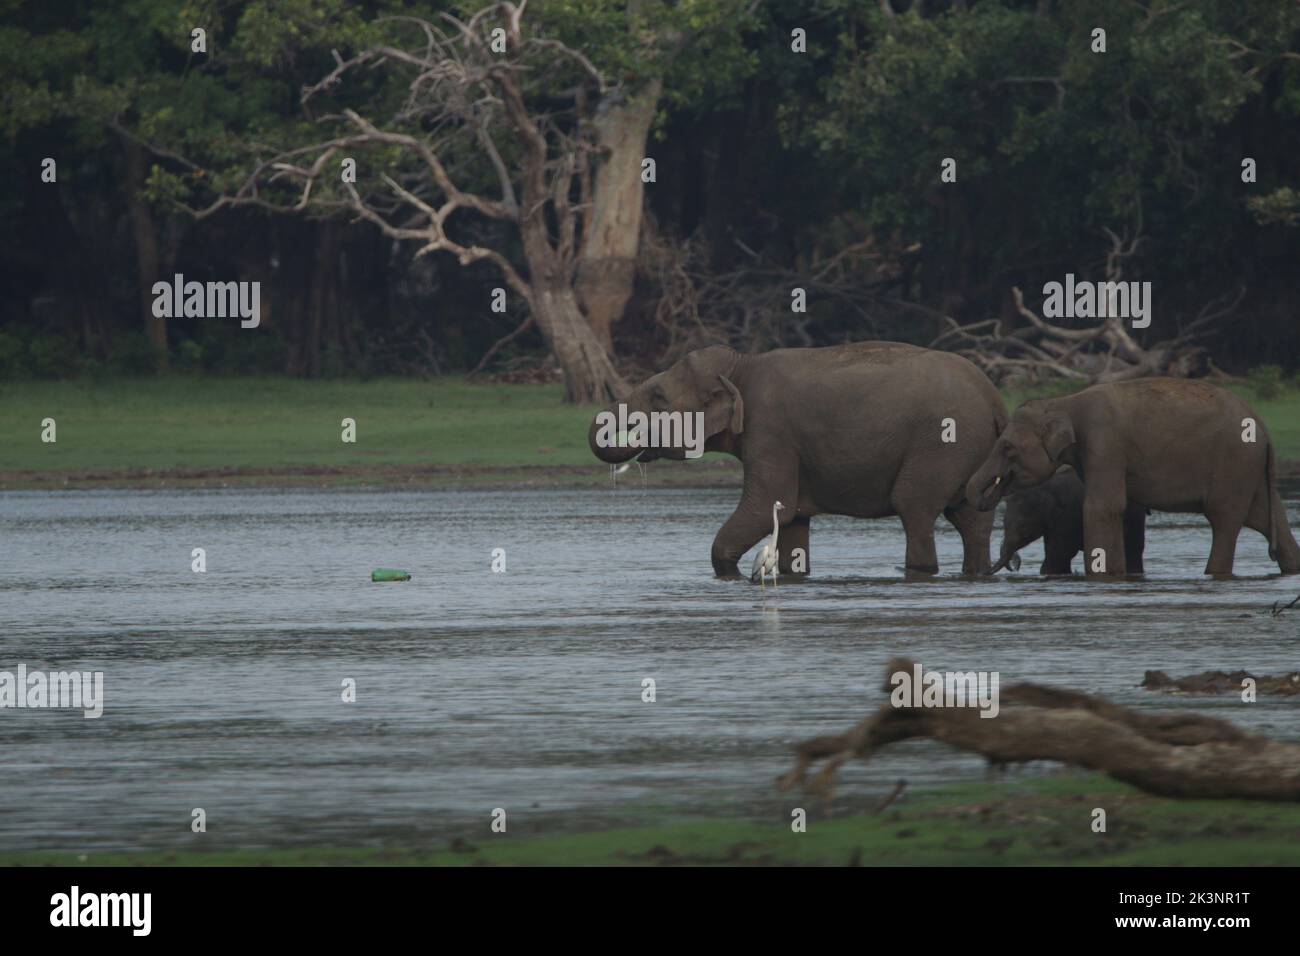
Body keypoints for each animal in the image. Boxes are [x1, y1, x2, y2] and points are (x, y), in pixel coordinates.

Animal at [588, 342, 1008, 577]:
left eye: (658, 397)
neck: (742, 365)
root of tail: (994, 397)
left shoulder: (770, 431)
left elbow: (763, 508)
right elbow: (791, 520)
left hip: (942, 445)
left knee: (914, 508)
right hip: (970, 453)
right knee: (972, 520)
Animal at [994, 468, 1148, 575]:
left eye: (1022, 527)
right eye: (1003, 523)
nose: (1016, 567)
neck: (1045, 486)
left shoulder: (1067, 516)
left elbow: (1059, 554)